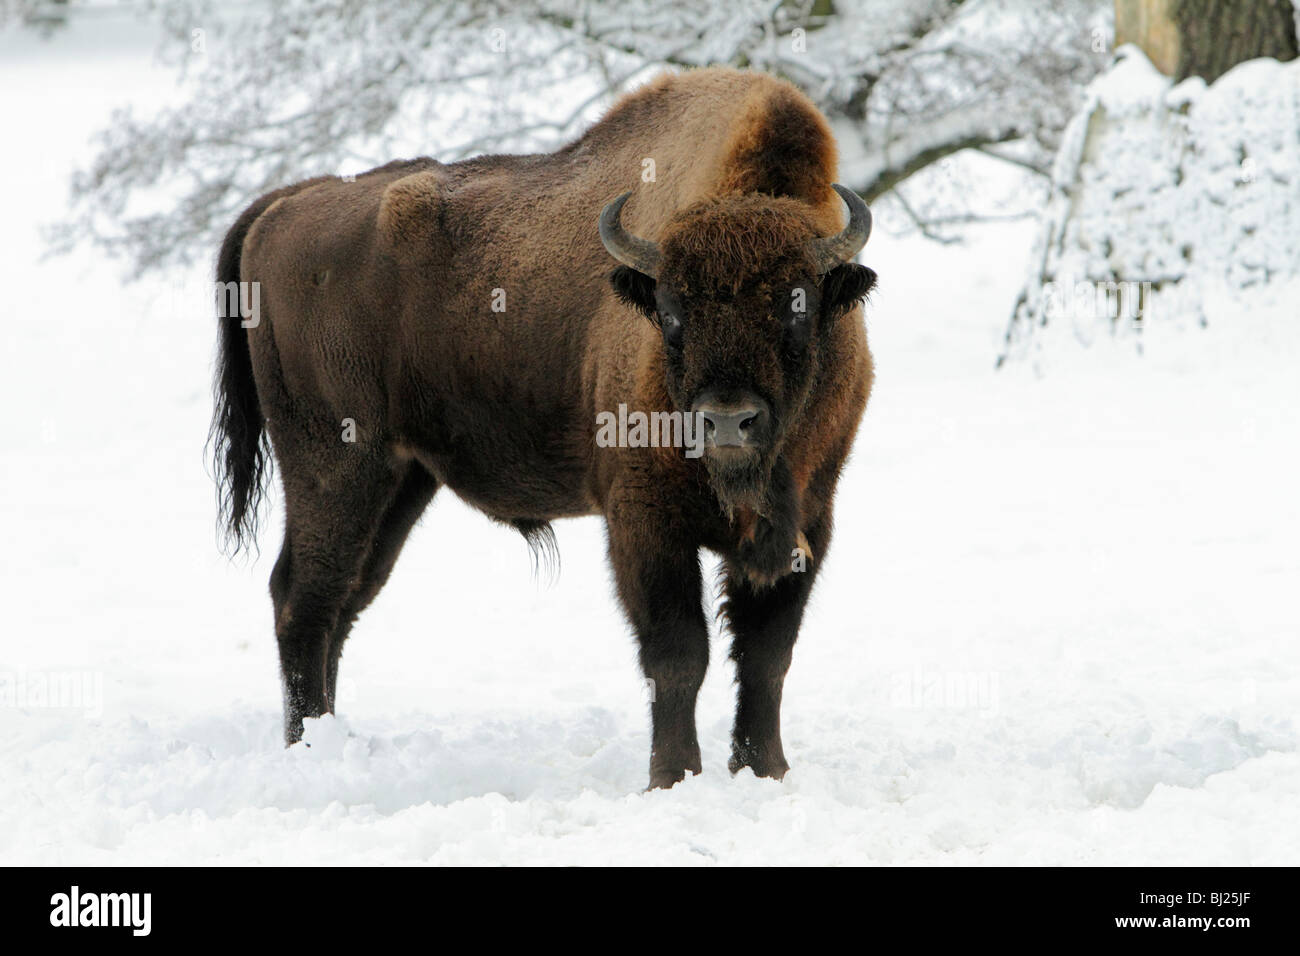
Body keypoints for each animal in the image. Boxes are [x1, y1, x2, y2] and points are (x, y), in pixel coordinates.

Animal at [211, 67, 876, 790]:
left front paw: (765, 771)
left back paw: (336, 741)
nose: (727, 419)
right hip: (335, 466)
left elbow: (766, 654)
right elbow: (678, 655)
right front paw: (673, 778)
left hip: (401, 481)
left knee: (344, 601)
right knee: (303, 598)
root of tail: (288, 203)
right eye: (670, 312)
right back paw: (309, 751)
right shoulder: (643, 524)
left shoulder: (809, 521)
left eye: (799, 305)